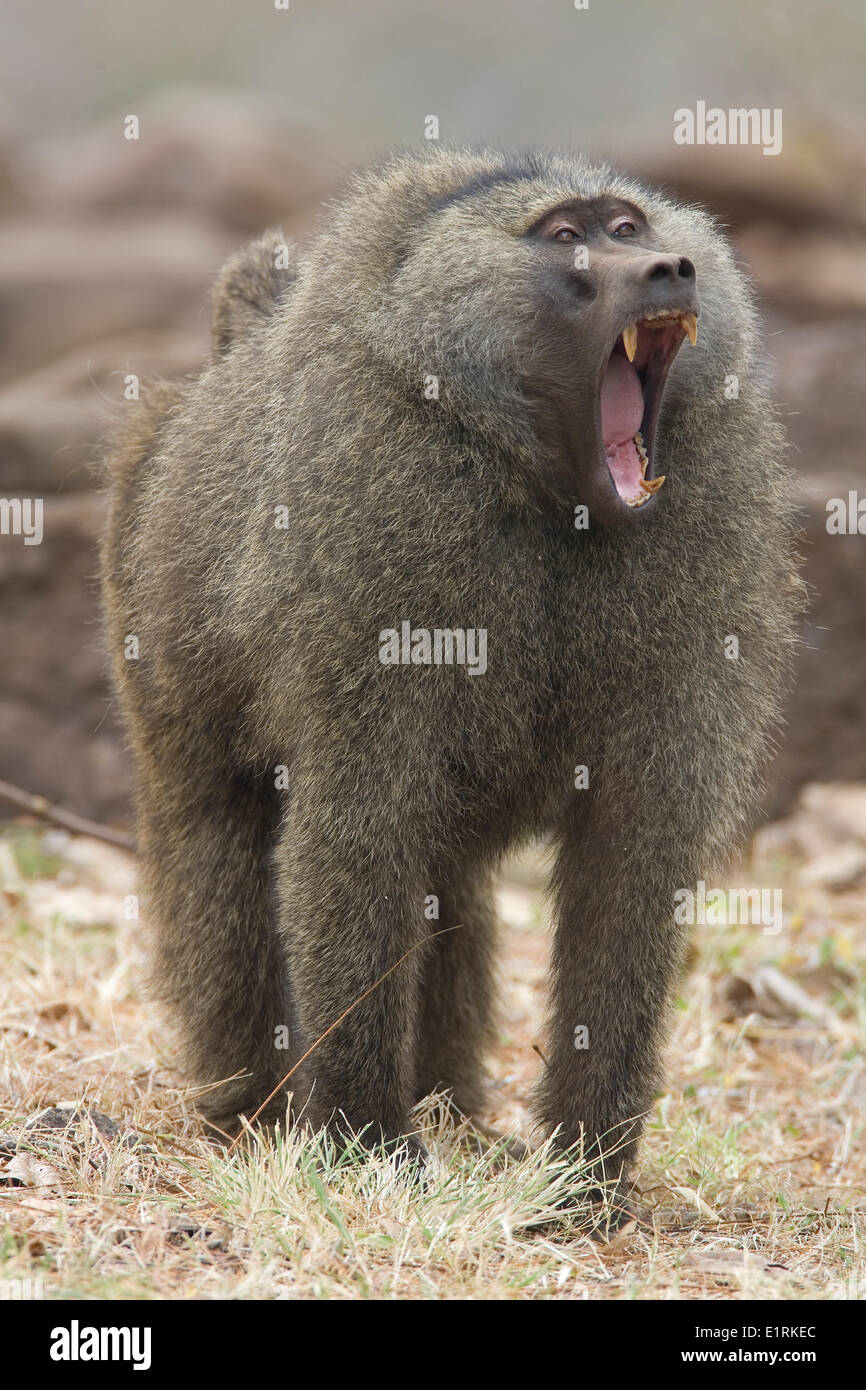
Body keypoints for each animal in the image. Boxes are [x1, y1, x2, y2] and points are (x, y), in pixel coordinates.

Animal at [101, 149, 799, 1202]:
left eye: (628, 226)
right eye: (568, 237)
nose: (673, 268)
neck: (541, 484)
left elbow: (633, 848)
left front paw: (586, 1172)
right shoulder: (377, 529)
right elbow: (358, 833)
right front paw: (362, 1145)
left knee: (449, 883)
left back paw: (448, 1107)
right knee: (215, 839)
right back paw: (252, 1106)